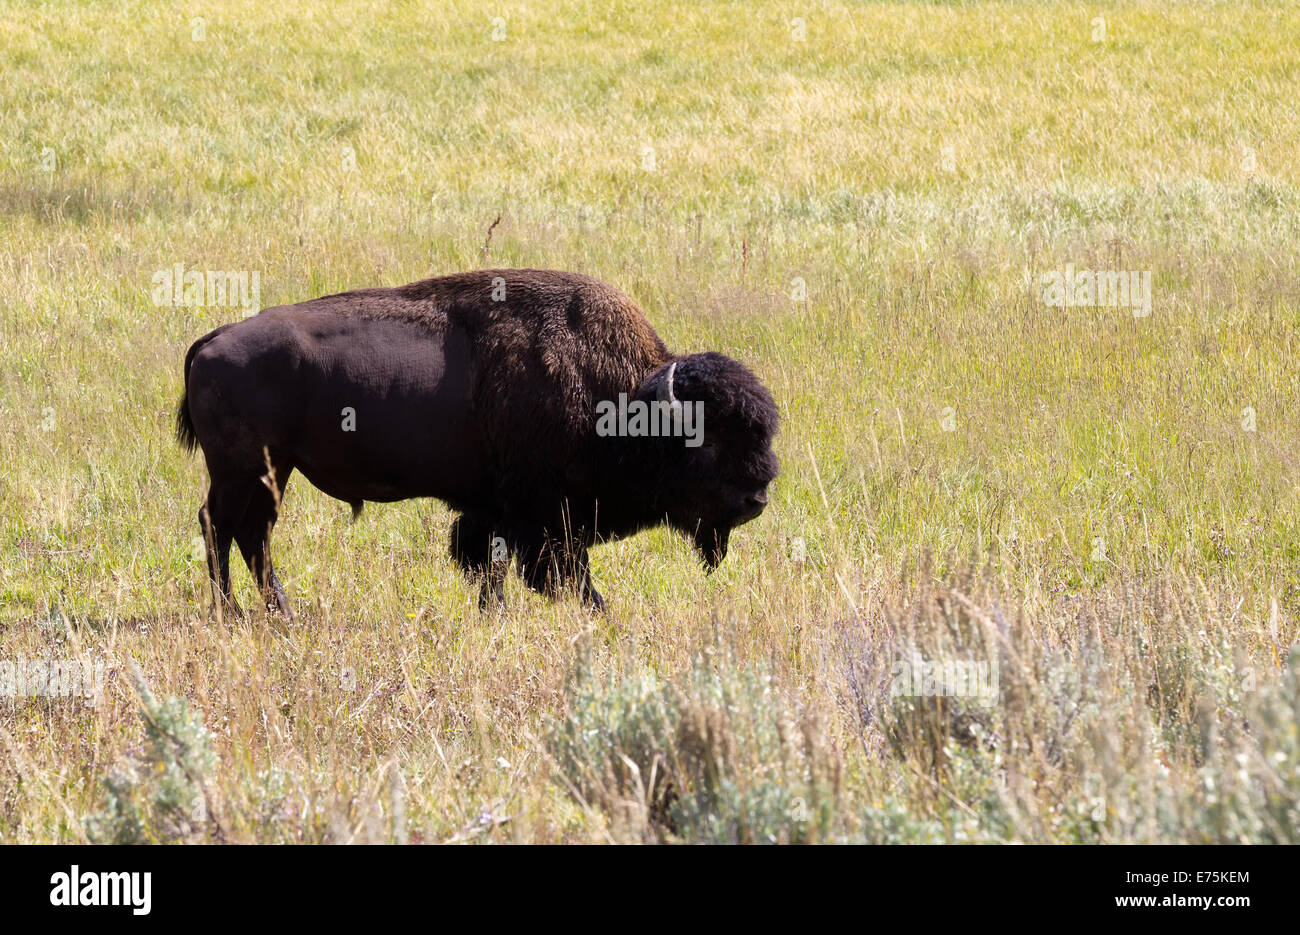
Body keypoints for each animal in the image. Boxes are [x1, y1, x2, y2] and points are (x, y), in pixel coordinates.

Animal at [176, 268, 778, 614]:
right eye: (706, 442)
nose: (756, 500)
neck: (627, 402)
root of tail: (211, 341)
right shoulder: (544, 518)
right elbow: (563, 575)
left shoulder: (494, 513)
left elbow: (489, 566)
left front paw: (494, 615)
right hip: (243, 470)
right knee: (222, 527)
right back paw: (231, 612)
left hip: (271, 471)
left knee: (251, 533)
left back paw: (278, 612)